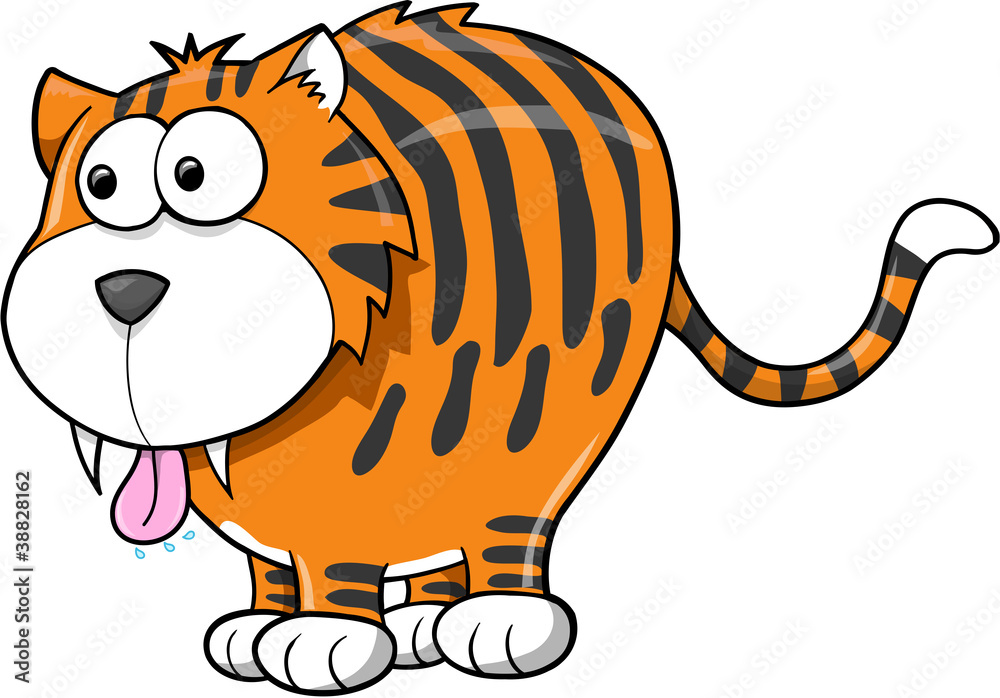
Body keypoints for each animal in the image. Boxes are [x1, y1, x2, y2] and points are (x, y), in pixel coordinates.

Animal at [2, 2, 996, 694]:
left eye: (197, 177)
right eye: (100, 185)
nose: (127, 291)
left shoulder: (350, 497)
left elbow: (336, 562)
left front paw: (327, 639)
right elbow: (266, 564)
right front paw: (257, 631)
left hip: (551, 428)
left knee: (512, 522)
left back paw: (495, 623)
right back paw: (424, 624)